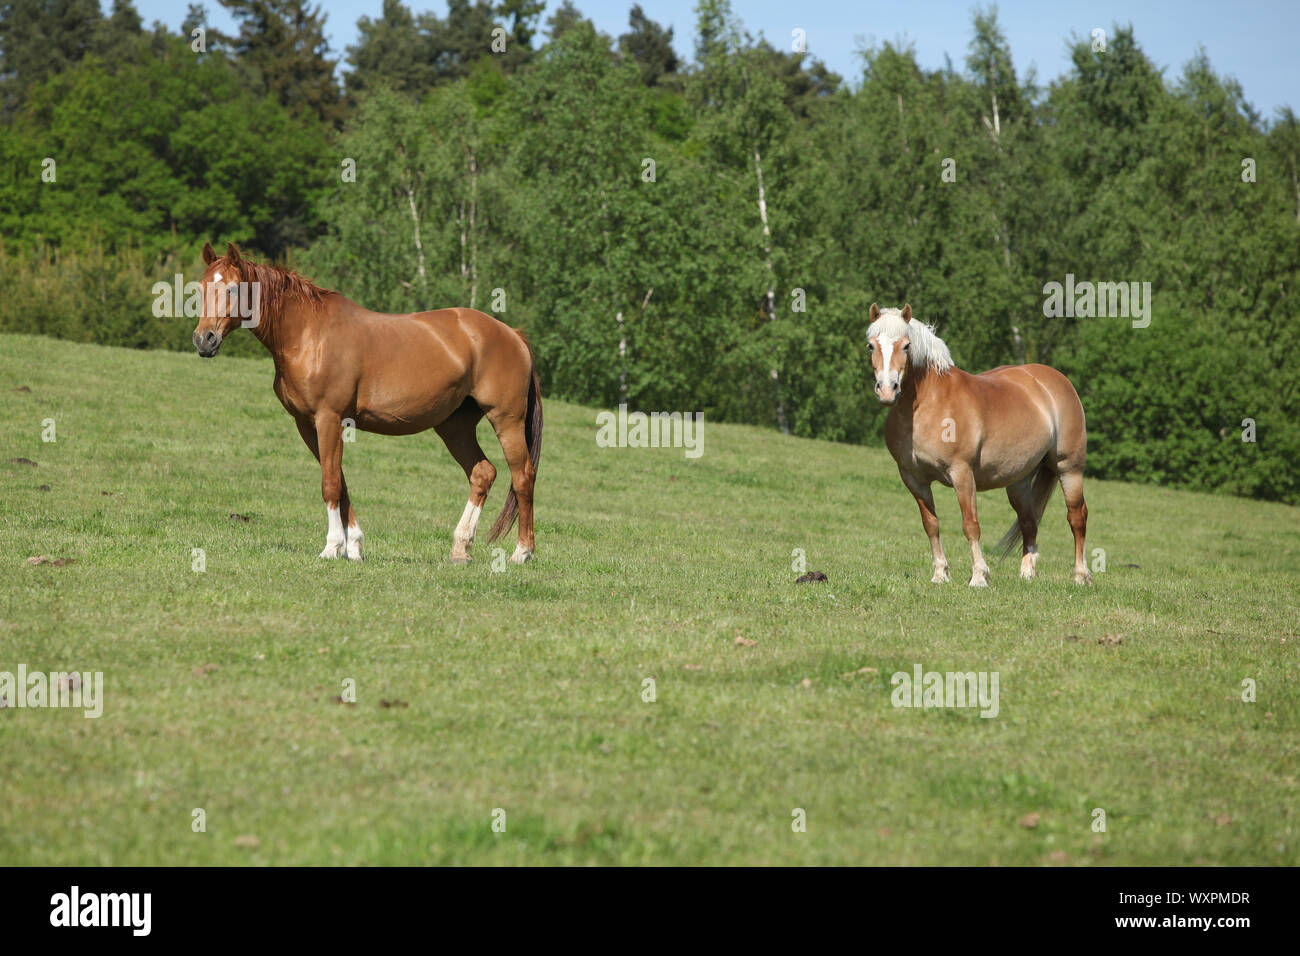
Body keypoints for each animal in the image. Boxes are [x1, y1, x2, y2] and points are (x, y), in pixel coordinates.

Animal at [190, 242, 541, 565]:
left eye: (233, 288)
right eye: (202, 288)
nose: (204, 339)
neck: (309, 335)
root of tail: (513, 334)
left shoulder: (329, 419)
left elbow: (330, 483)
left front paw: (332, 547)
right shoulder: (307, 425)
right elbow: (340, 481)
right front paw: (354, 546)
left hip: (506, 420)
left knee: (522, 477)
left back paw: (521, 552)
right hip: (455, 426)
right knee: (482, 473)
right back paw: (460, 548)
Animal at [866, 303, 1091, 587]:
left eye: (906, 346)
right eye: (871, 346)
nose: (887, 390)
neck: (928, 405)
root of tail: (1057, 380)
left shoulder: (961, 474)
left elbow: (970, 524)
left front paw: (979, 576)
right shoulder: (914, 479)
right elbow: (931, 524)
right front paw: (940, 574)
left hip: (1069, 469)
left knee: (1077, 517)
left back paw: (1081, 575)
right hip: (1018, 480)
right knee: (1029, 521)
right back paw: (1027, 574)